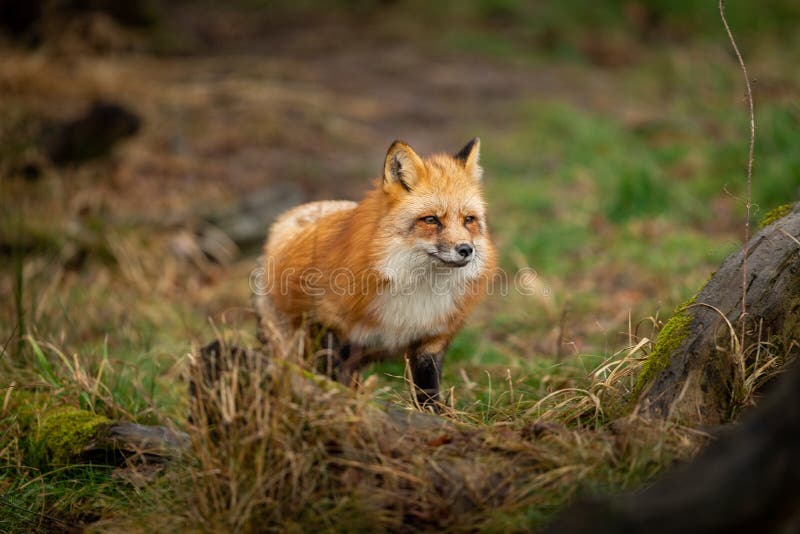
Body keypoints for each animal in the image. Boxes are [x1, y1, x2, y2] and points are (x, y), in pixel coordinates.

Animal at [253, 138, 497, 408]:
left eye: (468, 220)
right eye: (431, 220)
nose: (466, 249)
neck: (415, 293)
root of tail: (291, 214)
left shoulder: (430, 342)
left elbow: (428, 393)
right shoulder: (330, 332)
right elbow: (335, 386)